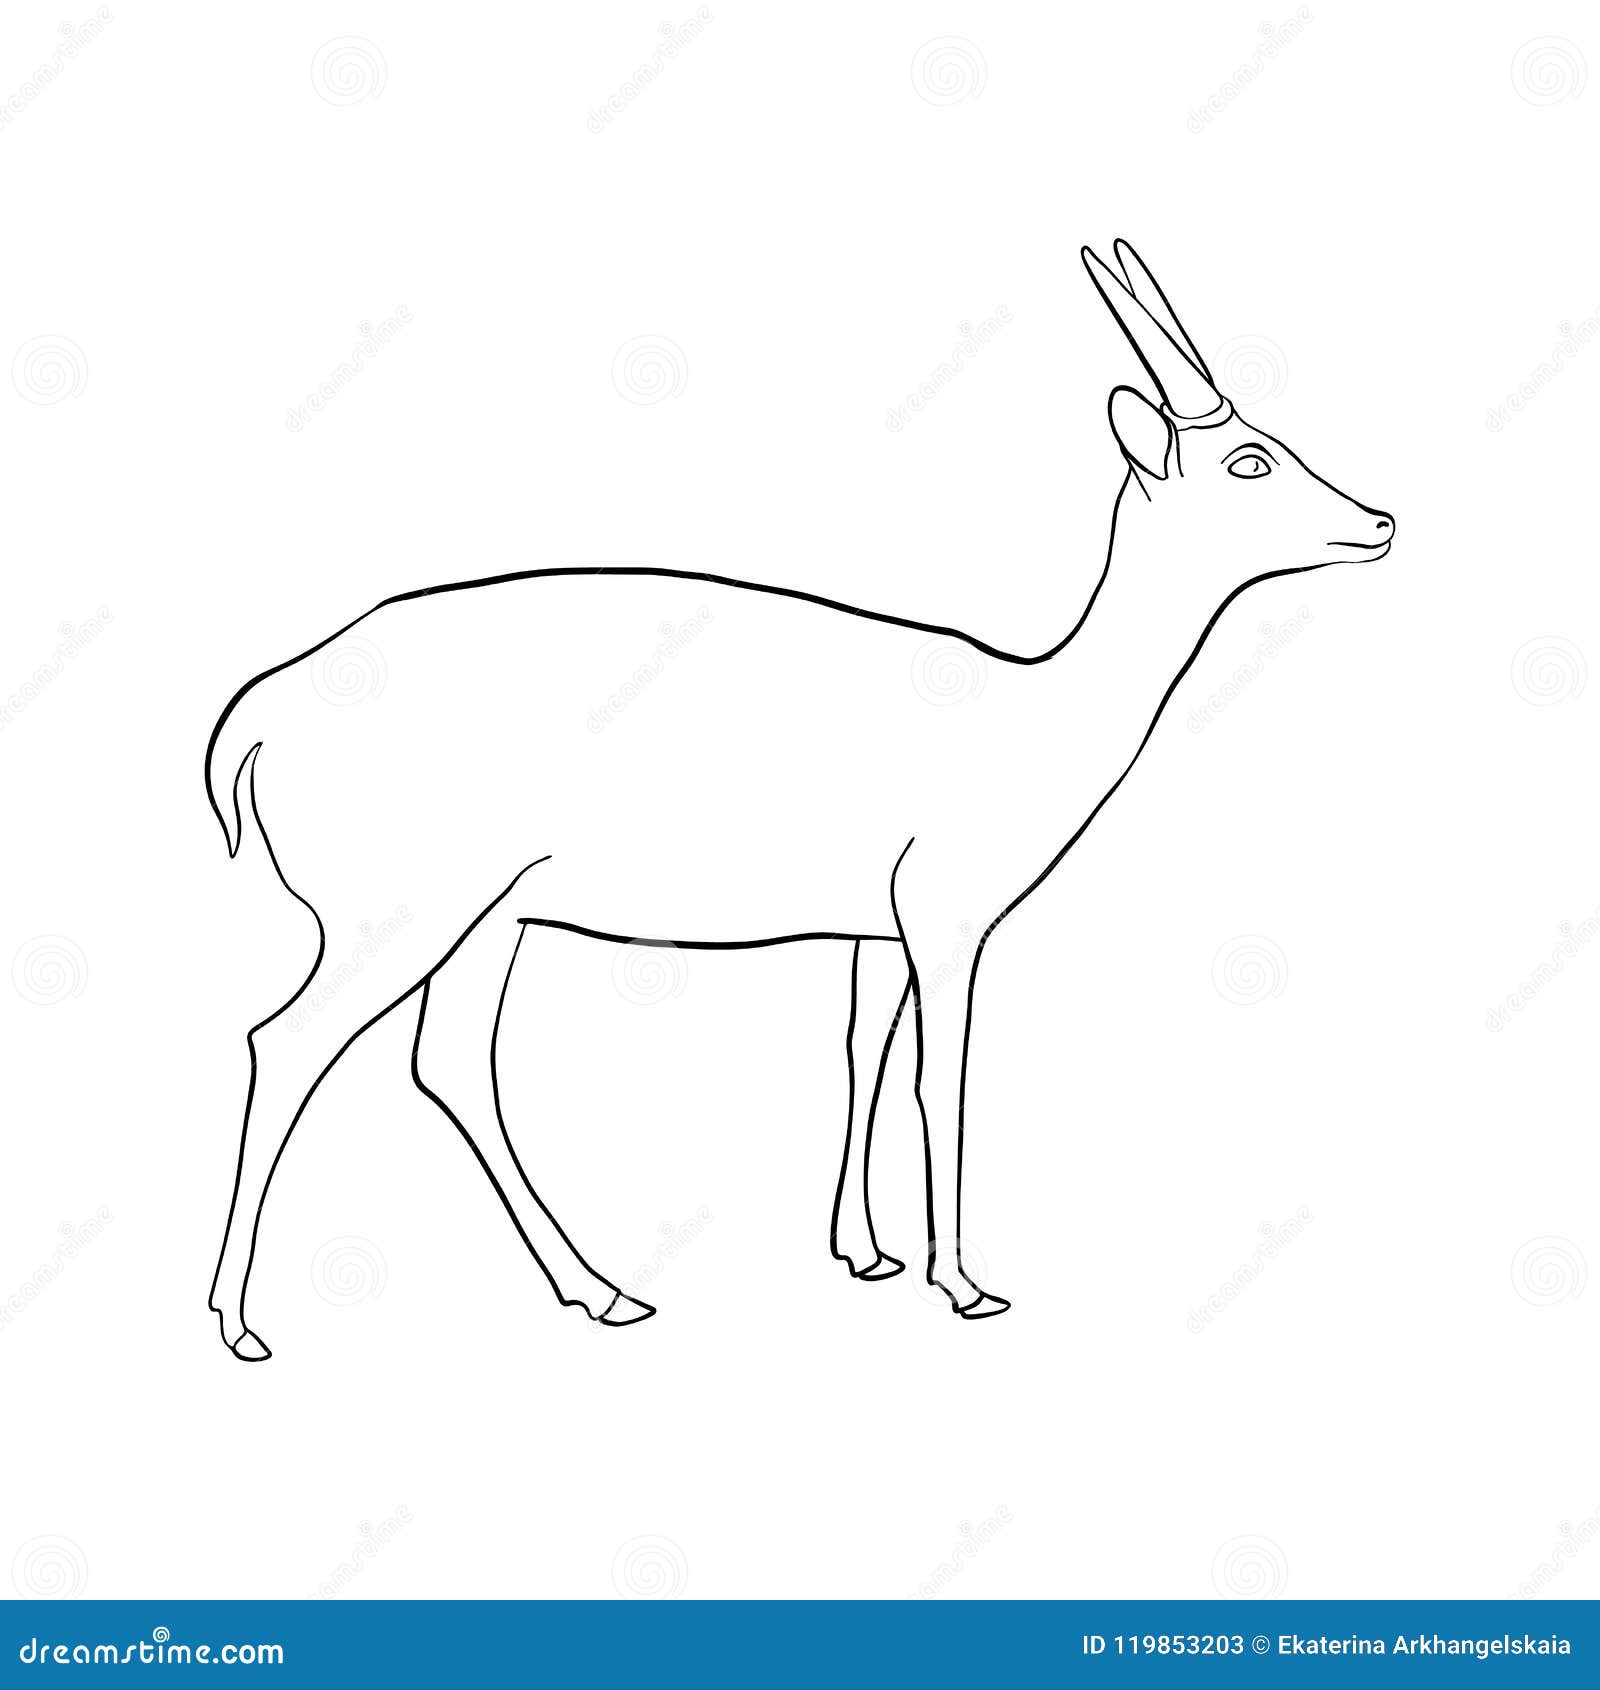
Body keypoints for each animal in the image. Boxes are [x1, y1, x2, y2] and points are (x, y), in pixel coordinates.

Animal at [205, 241, 1394, 1360]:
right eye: (1249, 459)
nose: (1378, 520)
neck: (1034, 718)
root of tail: (256, 714)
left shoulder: (872, 924)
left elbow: (862, 1053)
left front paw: (861, 1252)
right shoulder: (949, 912)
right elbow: (941, 1078)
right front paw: (963, 1283)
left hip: (495, 914)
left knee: (447, 1058)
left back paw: (605, 1291)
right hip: (395, 908)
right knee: (288, 1040)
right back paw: (240, 1321)